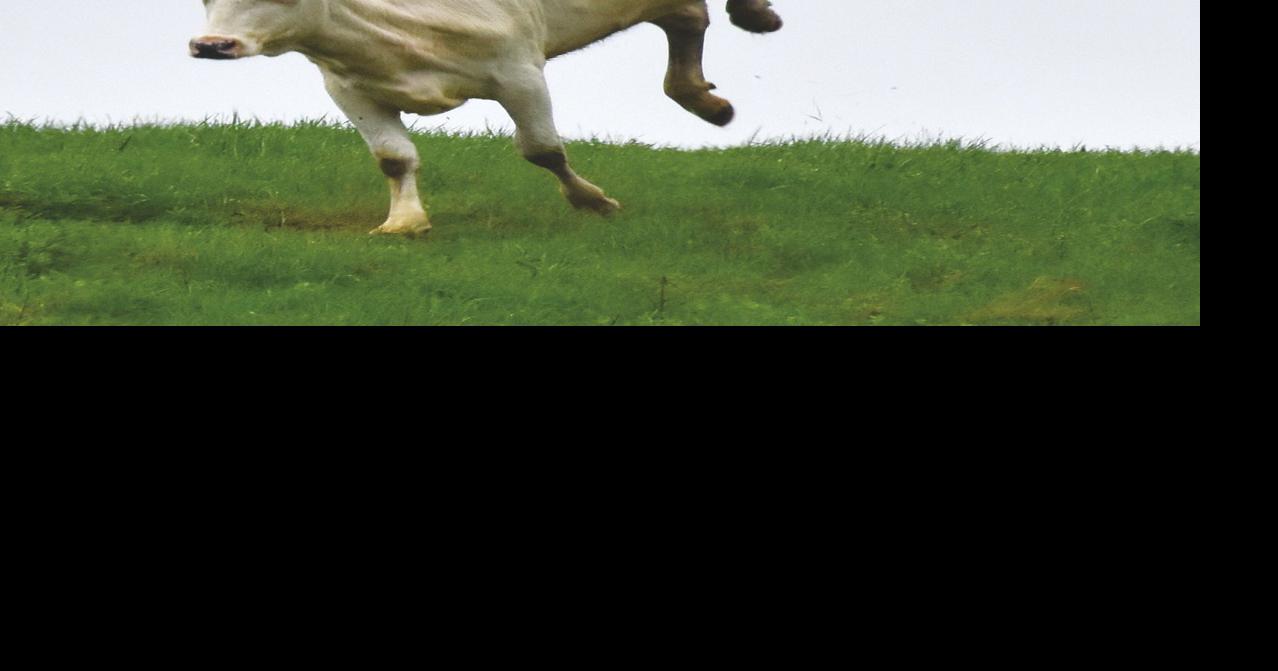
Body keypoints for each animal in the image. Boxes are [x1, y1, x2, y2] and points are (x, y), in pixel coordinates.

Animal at [191, 0, 784, 235]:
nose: (210, 45)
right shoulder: (348, 87)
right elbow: (393, 158)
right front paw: (404, 221)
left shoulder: (518, 70)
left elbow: (543, 149)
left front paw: (592, 201)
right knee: (686, 17)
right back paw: (702, 98)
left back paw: (752, 15)